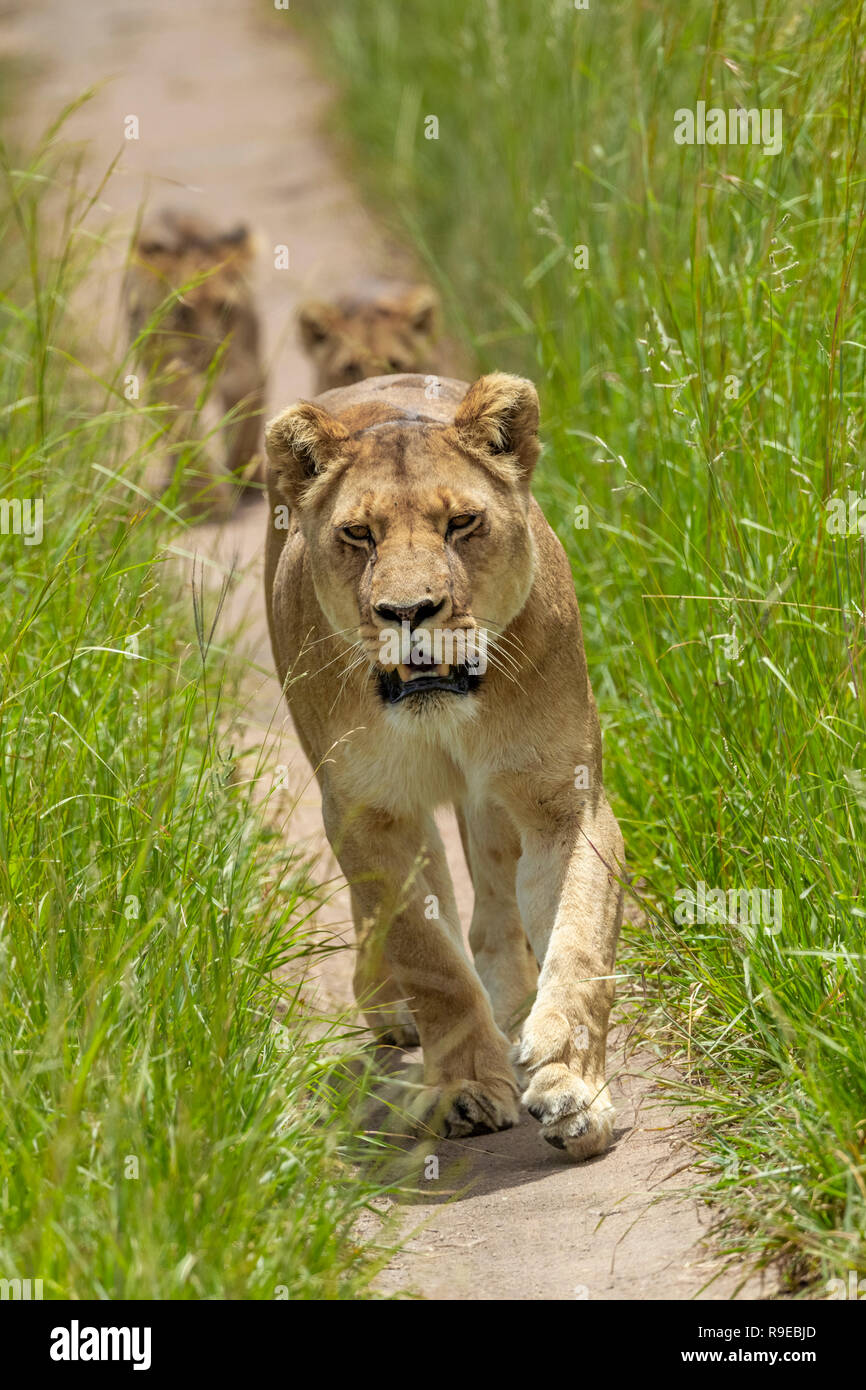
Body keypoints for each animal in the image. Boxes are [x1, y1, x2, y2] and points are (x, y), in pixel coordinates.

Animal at [125, 208, 267, 514]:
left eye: (224, 308)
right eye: (183, 313)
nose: (213, 353)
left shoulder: (246, 367)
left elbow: (246, 425)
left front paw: (245, 480)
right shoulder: (169, 377)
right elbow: (185, 433)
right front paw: (207, 498)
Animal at [264, 372, 625, 1159]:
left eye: (461, 523)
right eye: (358, 533)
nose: (408, 610)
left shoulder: (564, 797)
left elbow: (580, 941)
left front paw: (570, 1085)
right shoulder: (367, 813)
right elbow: (429, 960)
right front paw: (465, 1089)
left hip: (490, 806)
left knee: (492, 897)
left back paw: (512, 1000)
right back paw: (390, 1007)